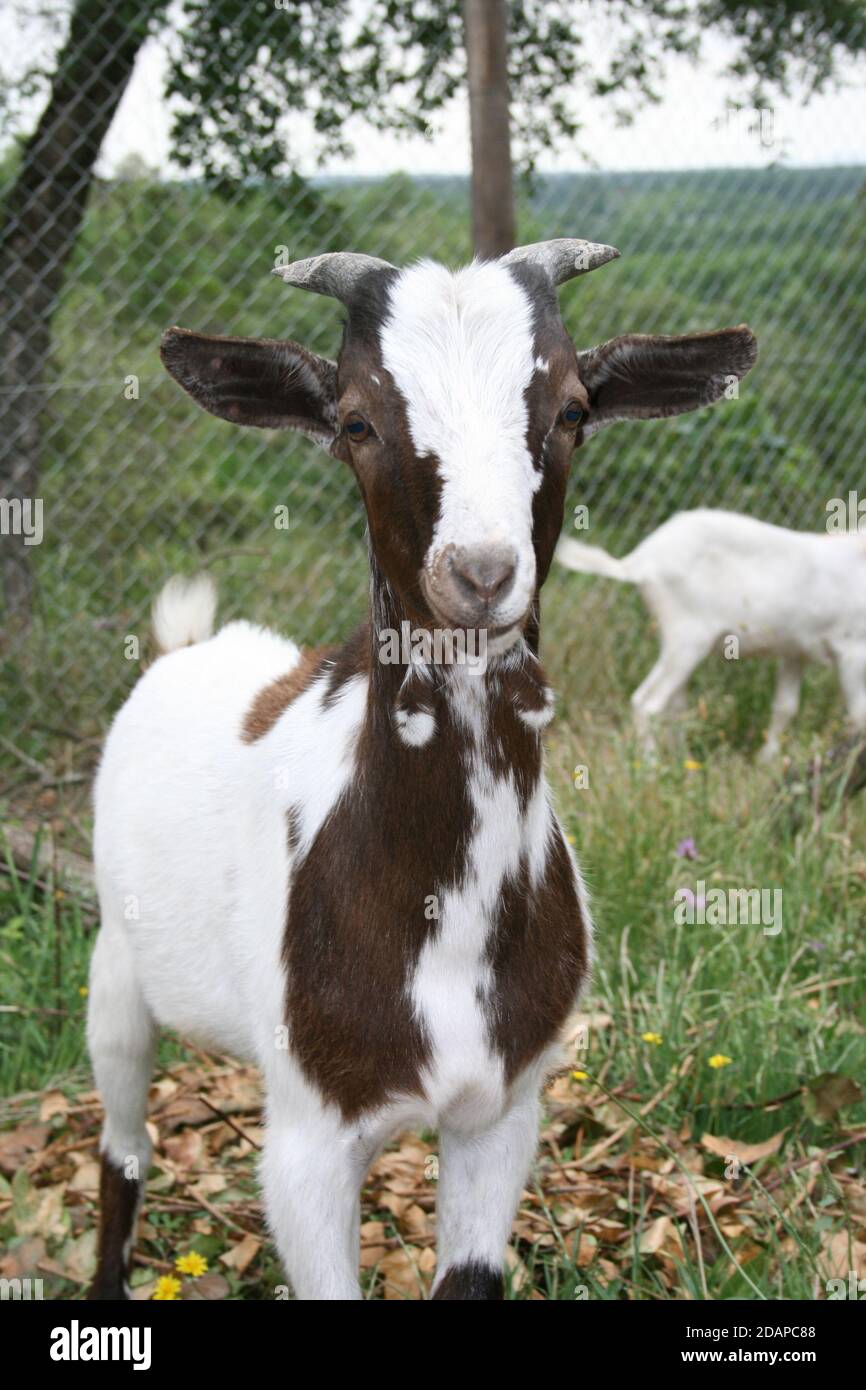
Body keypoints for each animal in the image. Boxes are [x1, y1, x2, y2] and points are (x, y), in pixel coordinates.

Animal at [87, 243, 757, 1300]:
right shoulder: (308, 1143)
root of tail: (189, 645)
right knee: (123, 1147)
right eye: (356, 420)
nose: (481, 574)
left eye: (572, 409)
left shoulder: (505, 1109)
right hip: (116, 959)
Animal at [556, 509, 866, 759]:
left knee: (674, 705)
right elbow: (859, 715)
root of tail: (640, 560)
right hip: (688, 638)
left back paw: (682, 762)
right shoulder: (853, 652)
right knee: (648, 702)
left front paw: (767, 761)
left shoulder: (794, 652)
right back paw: (653, 767)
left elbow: (785, 707)